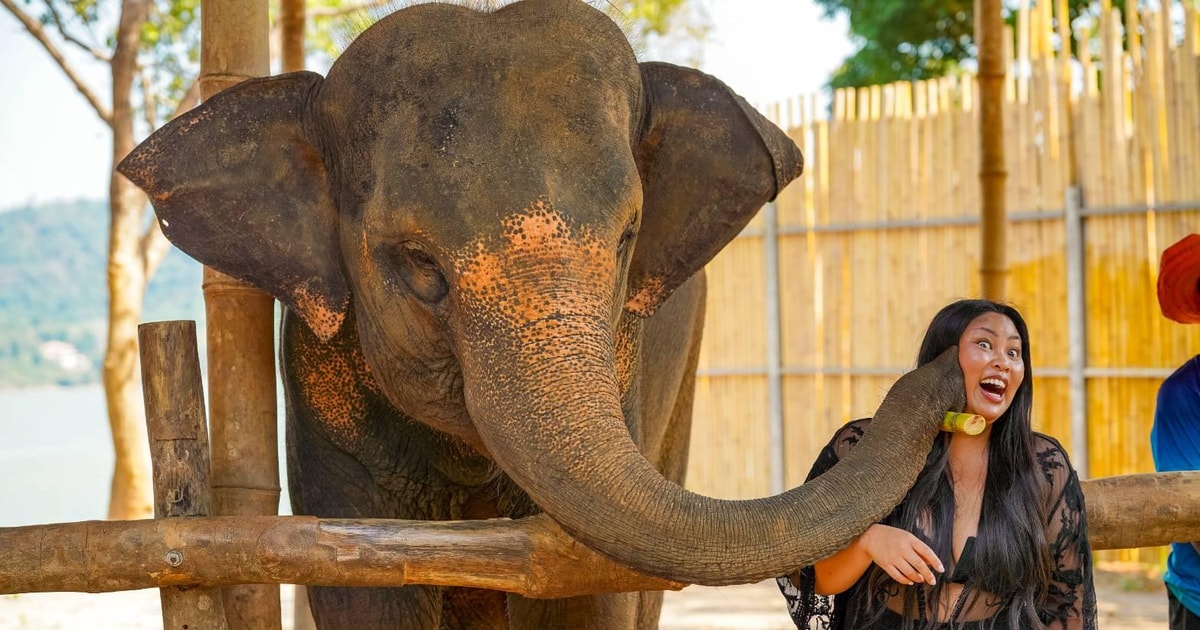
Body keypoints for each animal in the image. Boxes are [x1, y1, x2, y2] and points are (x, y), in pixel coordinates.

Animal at [118, 0, 966, 627]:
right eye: (419, 265)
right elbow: (366, 594)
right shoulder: (324, 401)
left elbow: (588, 584)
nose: (952, 372)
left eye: (626, 238)